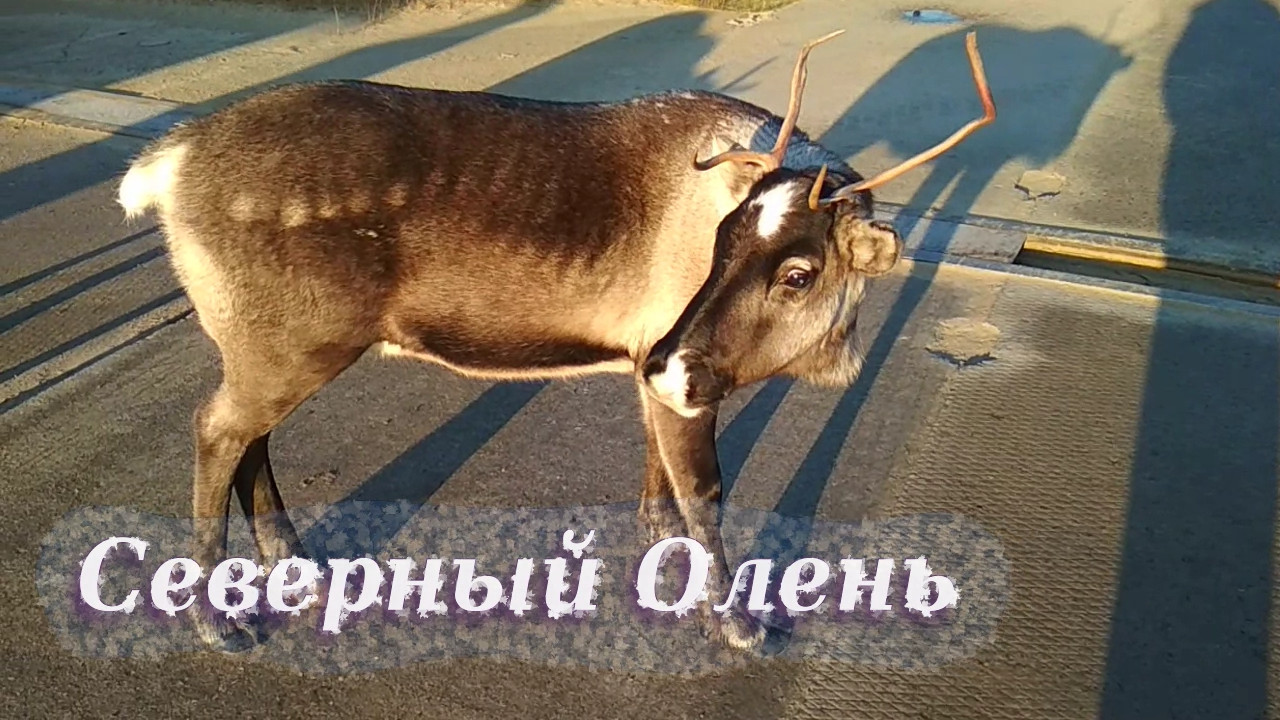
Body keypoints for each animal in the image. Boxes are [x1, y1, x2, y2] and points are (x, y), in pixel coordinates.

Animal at [116, 28, 995, 654]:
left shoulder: (653, 367)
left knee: (249, 442)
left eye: (799, 272)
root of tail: (168, 161)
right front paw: (739, 624)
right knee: (218, 431)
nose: (671, 362)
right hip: (292, 347)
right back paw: (216, 619)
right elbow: (705, 493)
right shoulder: (680, 375)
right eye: (724, 241)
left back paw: (298, 570)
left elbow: (659, 478)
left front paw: (657, 554)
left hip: (268, 349)